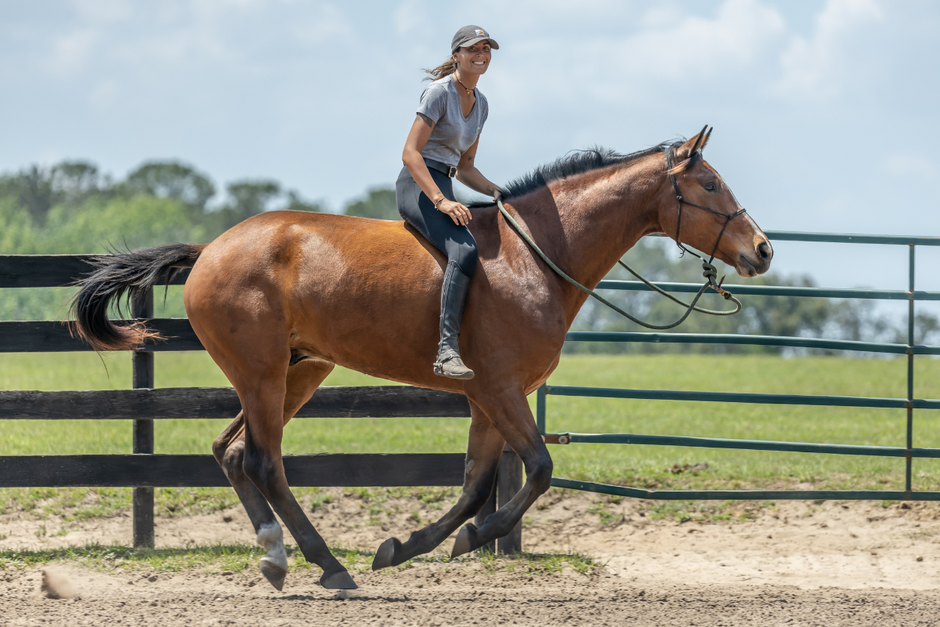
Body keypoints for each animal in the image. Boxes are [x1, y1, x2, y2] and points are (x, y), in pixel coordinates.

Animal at [70, 128, 772, 591]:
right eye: (710, 184)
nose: (762, 249)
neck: (534, 258)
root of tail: (212, 249)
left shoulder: (489, 400)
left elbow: (475, 486)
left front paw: (411, 546)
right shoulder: (501, 391)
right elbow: (539, 470)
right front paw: (462, 541)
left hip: (299, 371)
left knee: (233, 452)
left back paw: (277, 557)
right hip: (262, 374)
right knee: (264, 461)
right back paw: (328, 566)